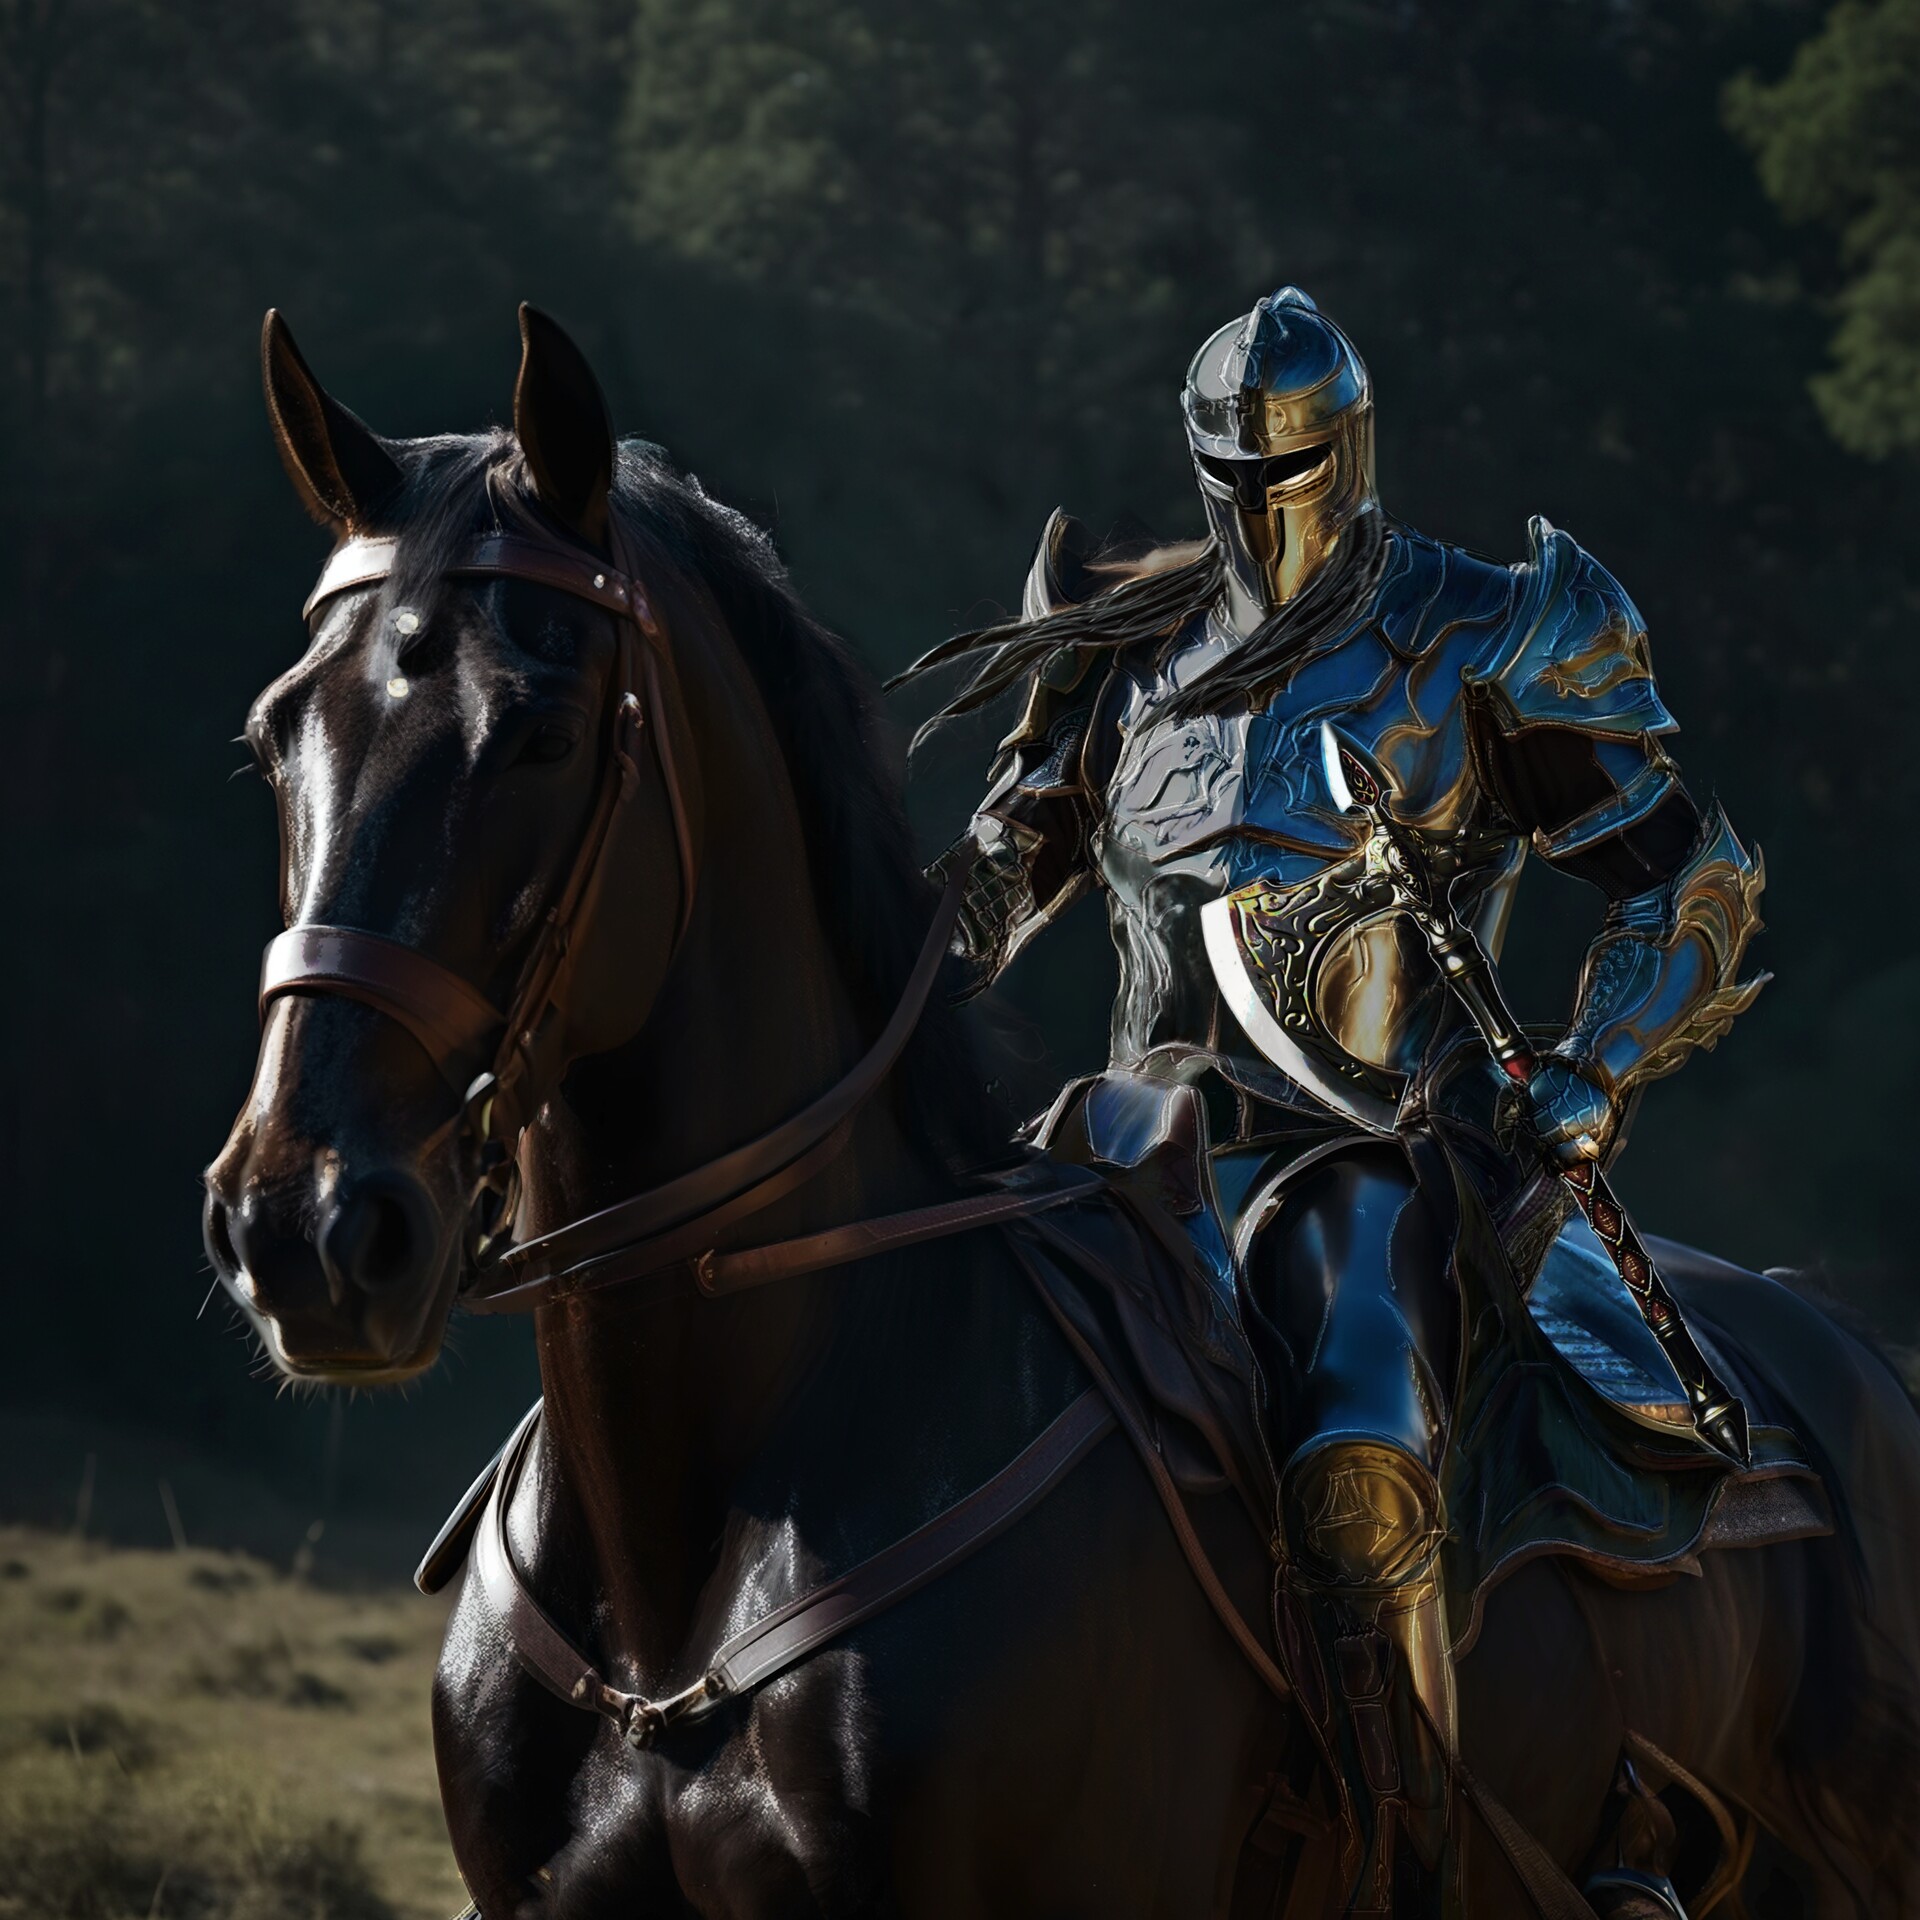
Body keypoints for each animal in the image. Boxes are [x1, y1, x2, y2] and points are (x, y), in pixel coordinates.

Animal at [203, 305, 1920, 1919]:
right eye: (278, 734)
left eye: (544, 733)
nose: (305, 1228)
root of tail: (1832, 1335)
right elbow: (1028, 827)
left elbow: (1671, 854)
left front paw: (1556, 1108)